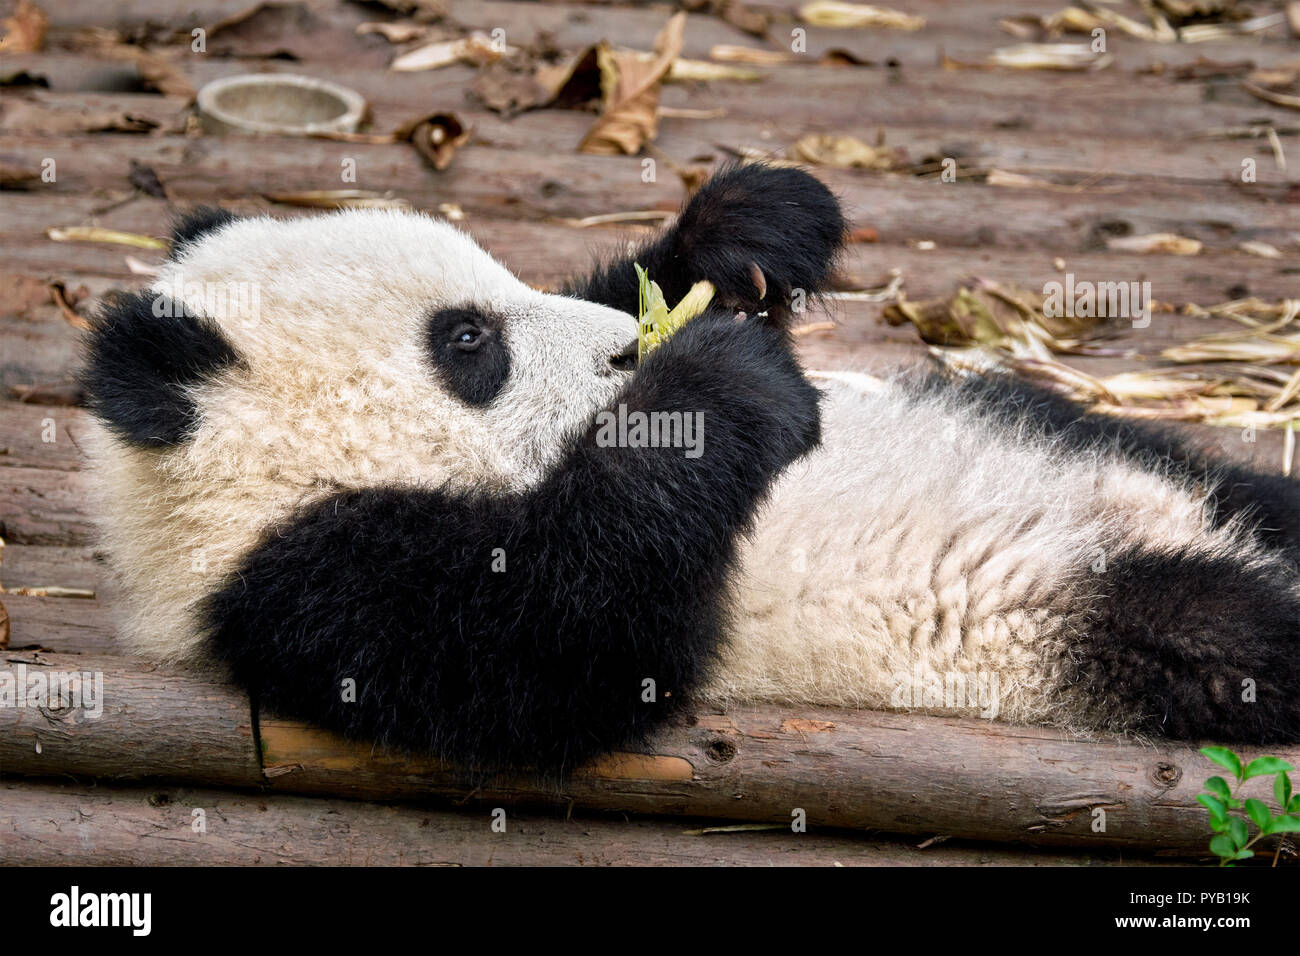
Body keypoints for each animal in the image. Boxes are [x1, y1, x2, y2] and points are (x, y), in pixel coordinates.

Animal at [82, 164, 1300, 775]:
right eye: (468, 341)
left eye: (498, 283)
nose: (629, 354)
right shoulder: (302, 579)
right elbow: (551, 645)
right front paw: (715, 390)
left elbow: (643, 274)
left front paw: (742, 234)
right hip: (1058, 618)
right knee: (1219, 636)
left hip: (1090, 443)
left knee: (1247, 495)